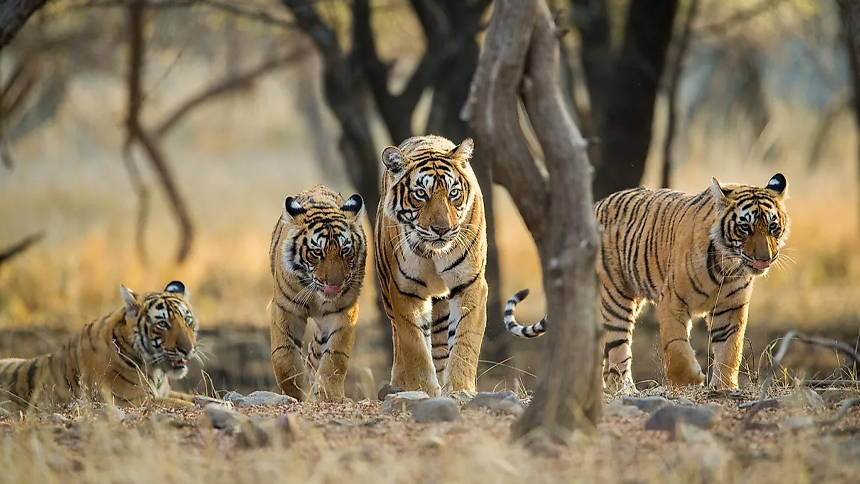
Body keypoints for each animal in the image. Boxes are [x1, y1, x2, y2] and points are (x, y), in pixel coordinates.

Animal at [0, 281, 200, 414]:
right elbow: (185, 404)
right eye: (163, 324)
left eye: (187, 320)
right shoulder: (131, 400)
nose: (188, 349)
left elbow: (198, 398)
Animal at [269, 185, 367, 402]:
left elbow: (335, 356)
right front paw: (297, 392)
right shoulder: (285, 308)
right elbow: (284, 355)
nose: (335, 285)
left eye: (345, 250)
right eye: (317, 252)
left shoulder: (343, 311)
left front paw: (330, 396)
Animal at [375, 134, 488, 397]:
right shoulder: (405, 290)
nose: (442, 229)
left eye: (453, 193)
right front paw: (423, 389)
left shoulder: (470, 284)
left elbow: (465, 340)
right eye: (420, 194)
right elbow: (414, 346)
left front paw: (459, 389)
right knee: (400, 341)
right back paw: (398, 383)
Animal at [504, 173, 790, 392]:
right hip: (615, 299)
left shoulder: (730, 308)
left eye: (773, 227)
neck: (727, 266)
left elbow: (730, 348)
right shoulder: (672, 301)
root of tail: (595, 206)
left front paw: (725, 387)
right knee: (618, 350)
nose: (765, 258)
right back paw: (626, 390)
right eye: (745, 228)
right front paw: (689, 381)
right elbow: (676, 347)